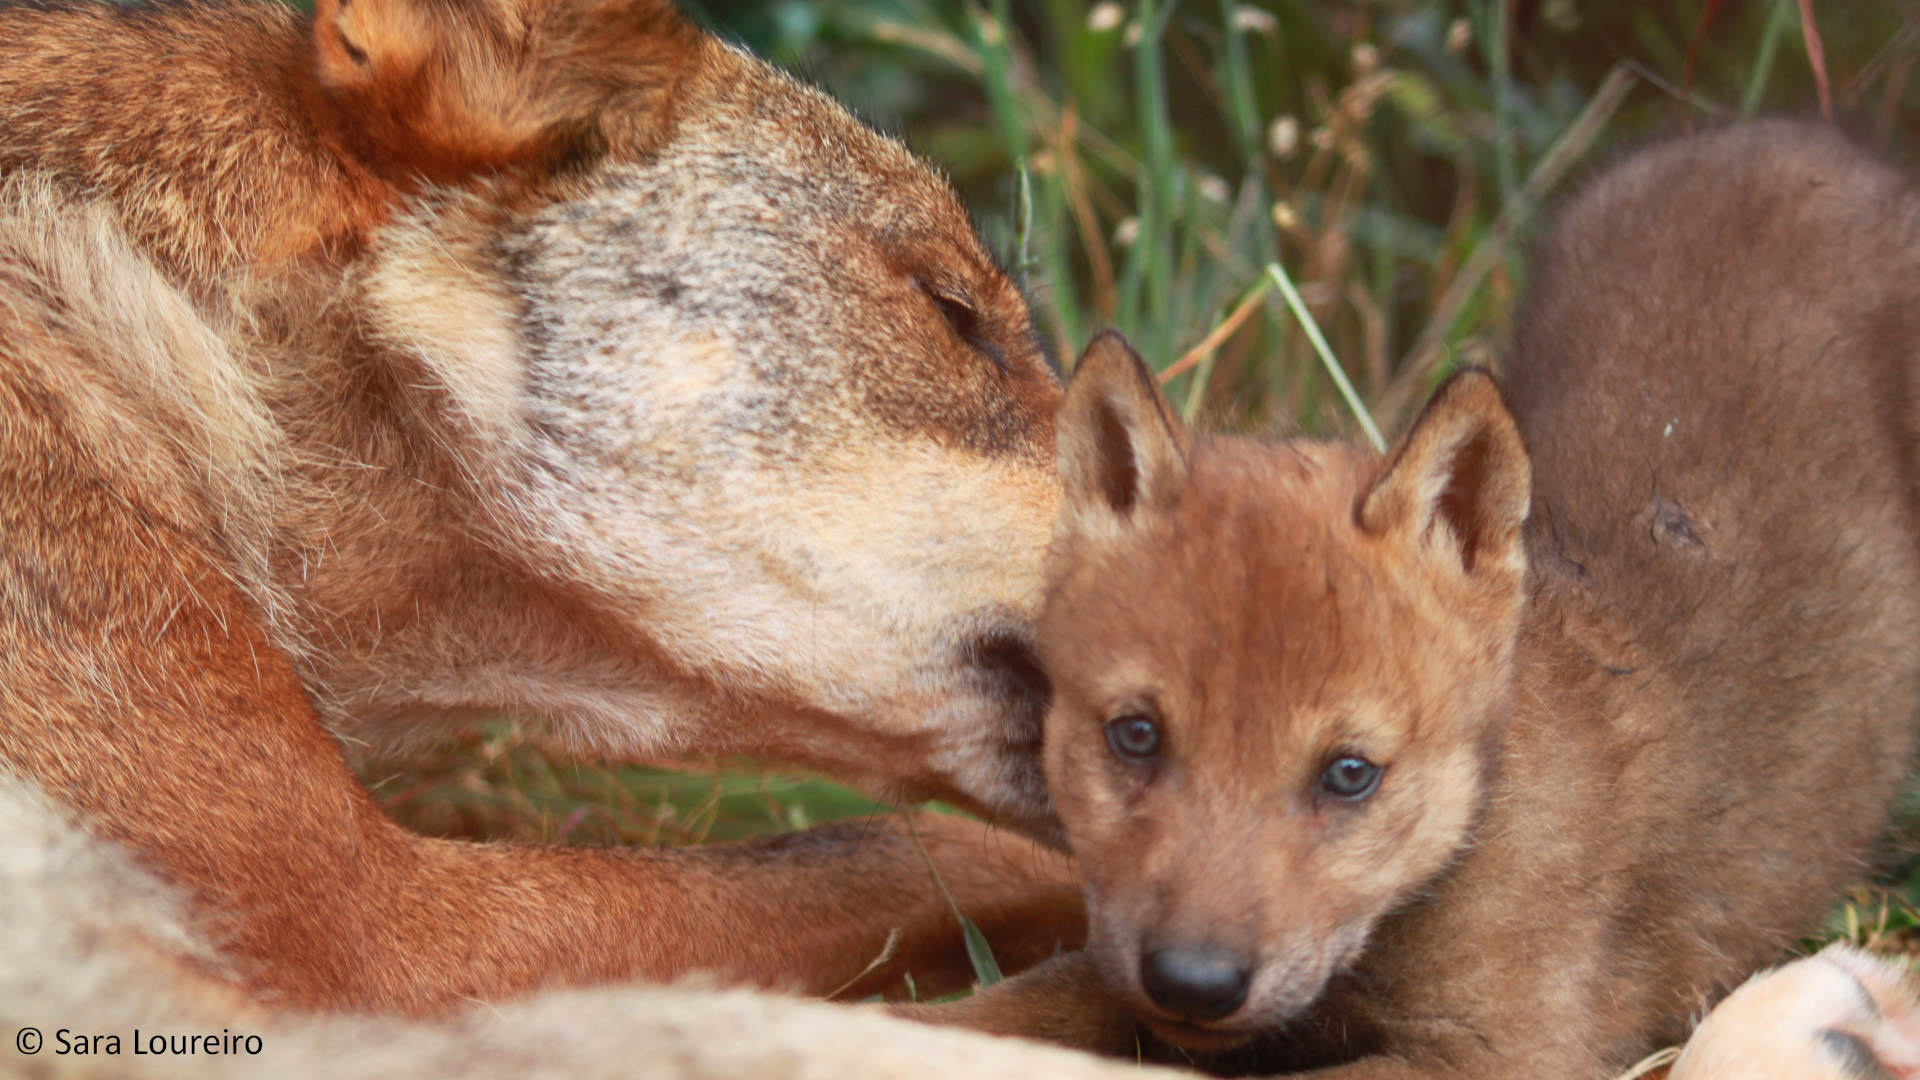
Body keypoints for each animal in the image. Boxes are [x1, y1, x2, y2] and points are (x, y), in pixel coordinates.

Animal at [909, 120, 1920, 1077]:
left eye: (1350, 773)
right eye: (1135, 735)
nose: (1194, 983)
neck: (1476, 821)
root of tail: (1816, 140)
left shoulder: (1502, 1051)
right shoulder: (1122, 961)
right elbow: (997, 1012)